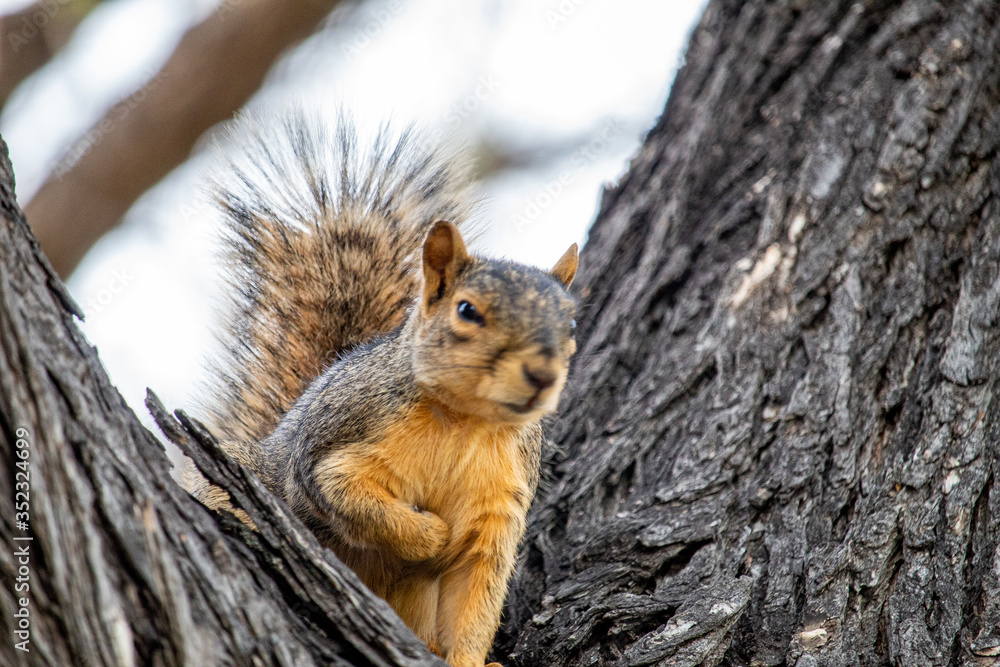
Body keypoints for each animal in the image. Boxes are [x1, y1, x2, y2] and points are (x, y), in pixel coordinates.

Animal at [181, 110, 579, 667]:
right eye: (467, 311)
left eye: (571, 324)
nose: (542, 375)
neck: (465, 420)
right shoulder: (334, 451)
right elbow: (354, 502)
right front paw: (430, 536)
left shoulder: (498, 506)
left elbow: (474, 600)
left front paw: (472, 658)